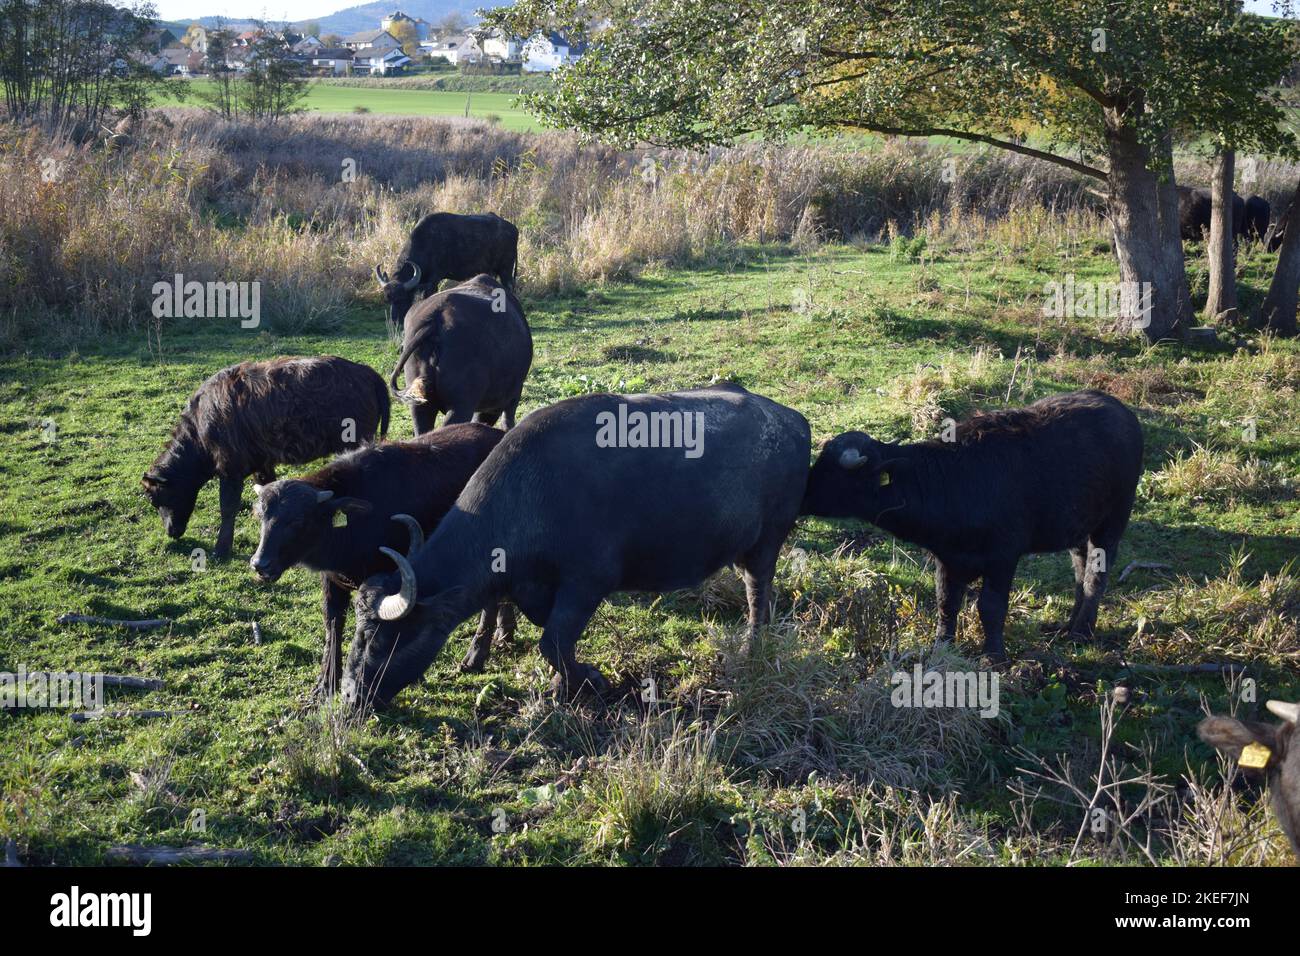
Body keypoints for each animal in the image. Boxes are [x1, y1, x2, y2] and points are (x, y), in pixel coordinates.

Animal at [142, 356, 389, 560]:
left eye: (155, 498)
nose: (171, 531)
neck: (200, 430)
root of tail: (367, 373)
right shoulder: (263, 466)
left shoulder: (231, 470)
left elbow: (227, 508)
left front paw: (221, 550)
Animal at [249, 424, 510, 698]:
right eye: (261, 516)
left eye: (297, 521)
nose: (260, 564)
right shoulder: (332, 581)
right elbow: (333, 624)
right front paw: (326, 683)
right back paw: (505, 633)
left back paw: (475, 656)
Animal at [341, 383, 811, 711]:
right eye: (357, 635)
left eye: (379, 638)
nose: (350, 697)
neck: (531, 495)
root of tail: (793, 421)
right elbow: (523, 621)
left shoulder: (587, 583)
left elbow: (552, 642)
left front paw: (587, 681)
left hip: (767, 542)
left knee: (758, 592)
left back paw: (751, 646)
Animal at [375, 212, 519, 330]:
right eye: (388, 299)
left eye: (401, 298)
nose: (394, 322)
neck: (425, 244)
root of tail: (513, 229)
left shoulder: (433, 280)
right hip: (492, 271)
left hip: (506, 270)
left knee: (508, 287)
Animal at [801, 390, 1143, 659]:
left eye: (831, 471)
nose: (802, 495)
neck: (952, 479)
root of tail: (1122, 411)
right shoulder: (947, 558)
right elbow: (946, 603)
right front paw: (942, 647)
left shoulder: (1004, 557)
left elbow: (991, 607)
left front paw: (994, 656)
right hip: (1077, 529)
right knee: (1080, 569)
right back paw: (1069, 624)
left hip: (1113, 521)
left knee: (1097, 574)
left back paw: (1082, 632)